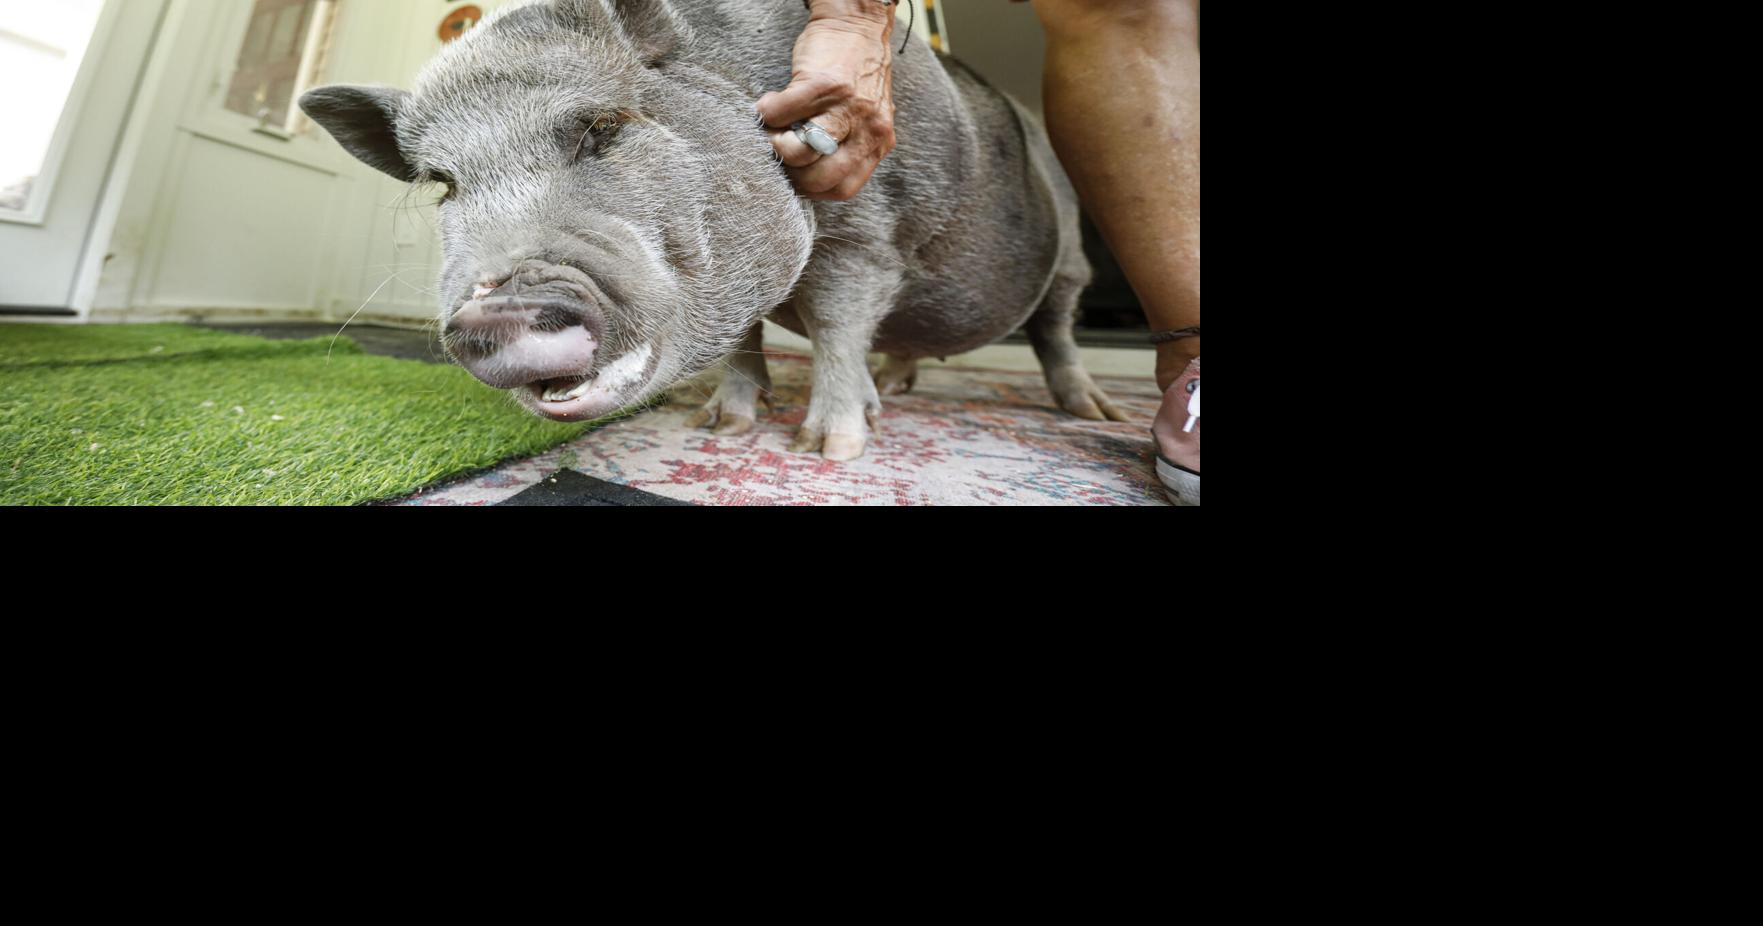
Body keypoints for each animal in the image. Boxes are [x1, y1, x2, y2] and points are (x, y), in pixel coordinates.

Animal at [300, 0, 1126, 461]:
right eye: (444, 183)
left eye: (602, 127)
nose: (495, 306)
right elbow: (744, 333)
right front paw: (719, 429)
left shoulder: (867, 231)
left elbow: (835, 325)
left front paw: (829, 451)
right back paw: (890, 390)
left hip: (1071, 255)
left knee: (1055, 327)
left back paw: (1095, 414)